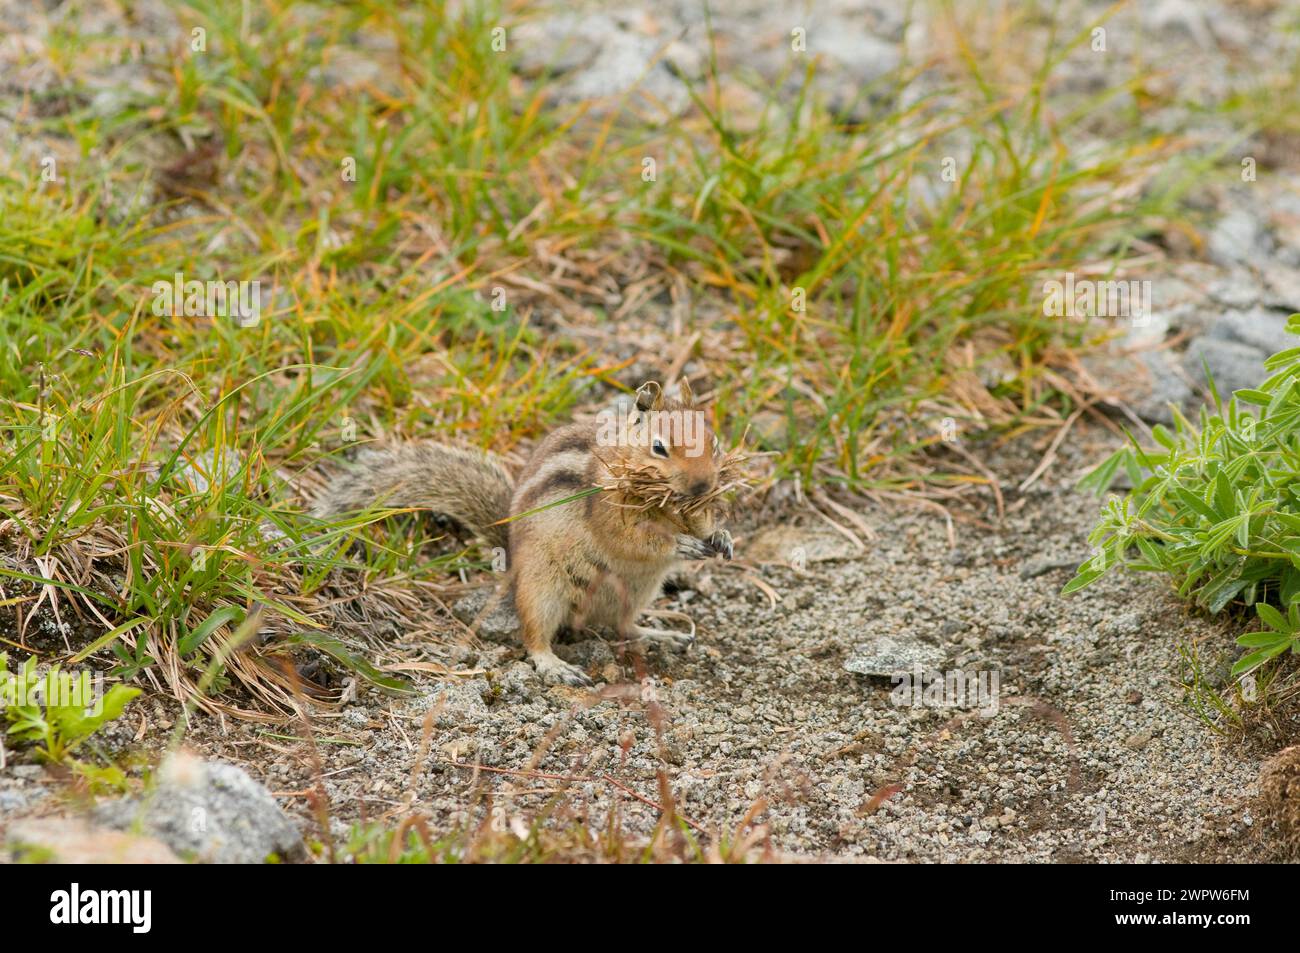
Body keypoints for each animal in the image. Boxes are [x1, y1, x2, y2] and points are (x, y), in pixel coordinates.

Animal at [314, 379, 734, 685]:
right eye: (659, 448)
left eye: (714, 442)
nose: (702, 485)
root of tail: (510, 561)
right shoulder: (609, 512)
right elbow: (633, 540)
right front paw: (681, 544)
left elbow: (702, 525)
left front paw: (722, 537)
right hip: (541, 588)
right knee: (534, 636)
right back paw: (555, 666)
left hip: (639, 591)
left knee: (624, 626)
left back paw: (663, 635)